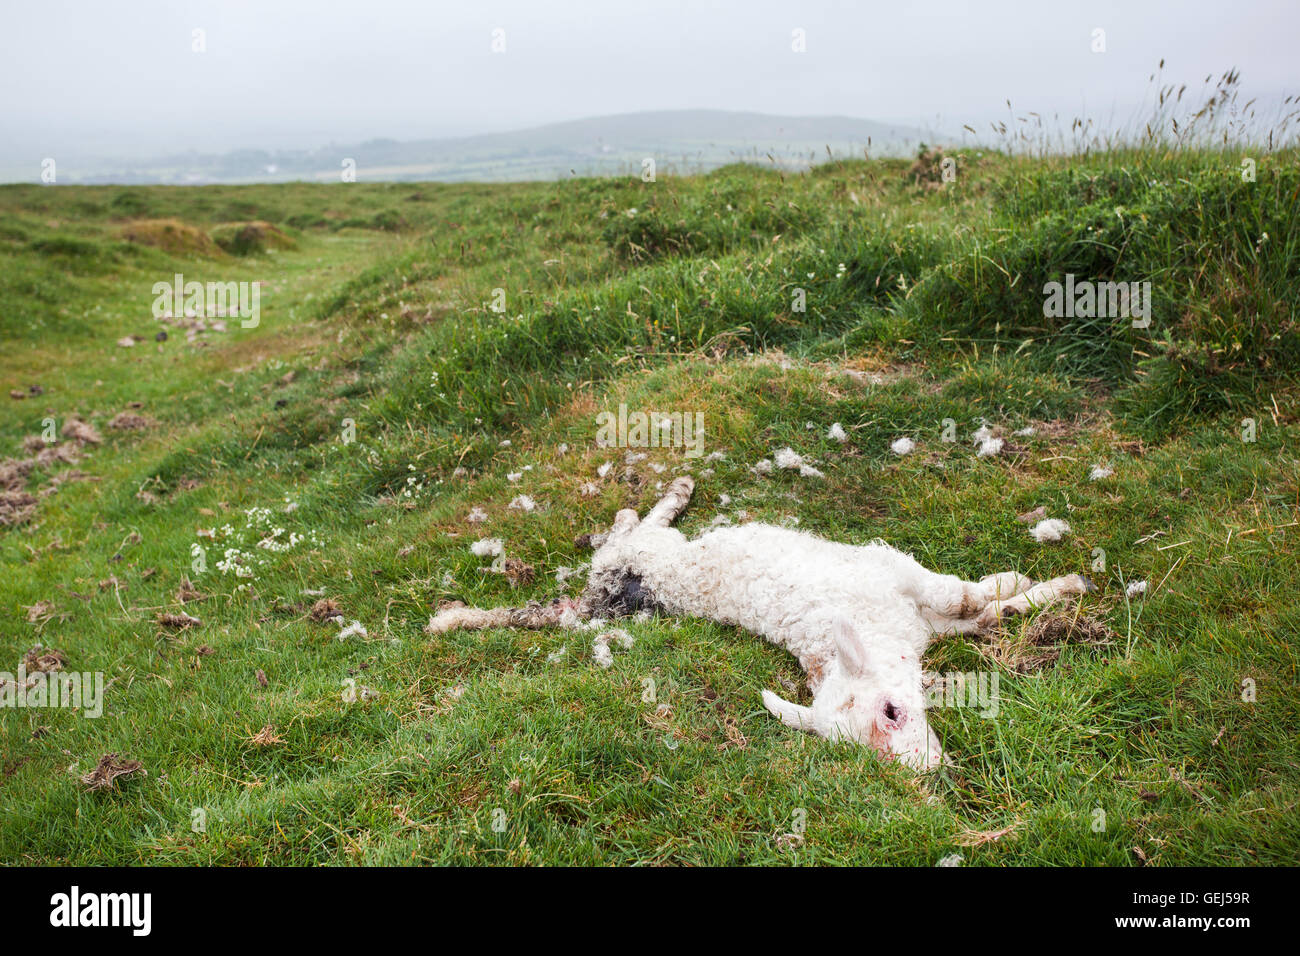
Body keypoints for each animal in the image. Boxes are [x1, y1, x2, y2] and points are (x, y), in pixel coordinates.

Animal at [426, 477, 1093, 770]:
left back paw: (663, 494)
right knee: (628, 531)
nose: (926, 773)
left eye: (893, 712)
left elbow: (969, 601)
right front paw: (1051, 589)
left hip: (645, 557)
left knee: (630, 529)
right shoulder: (907, 602)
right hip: (640, 564)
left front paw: (1047, 587)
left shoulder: (901, 581)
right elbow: (977, 609)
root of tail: (597, 602)